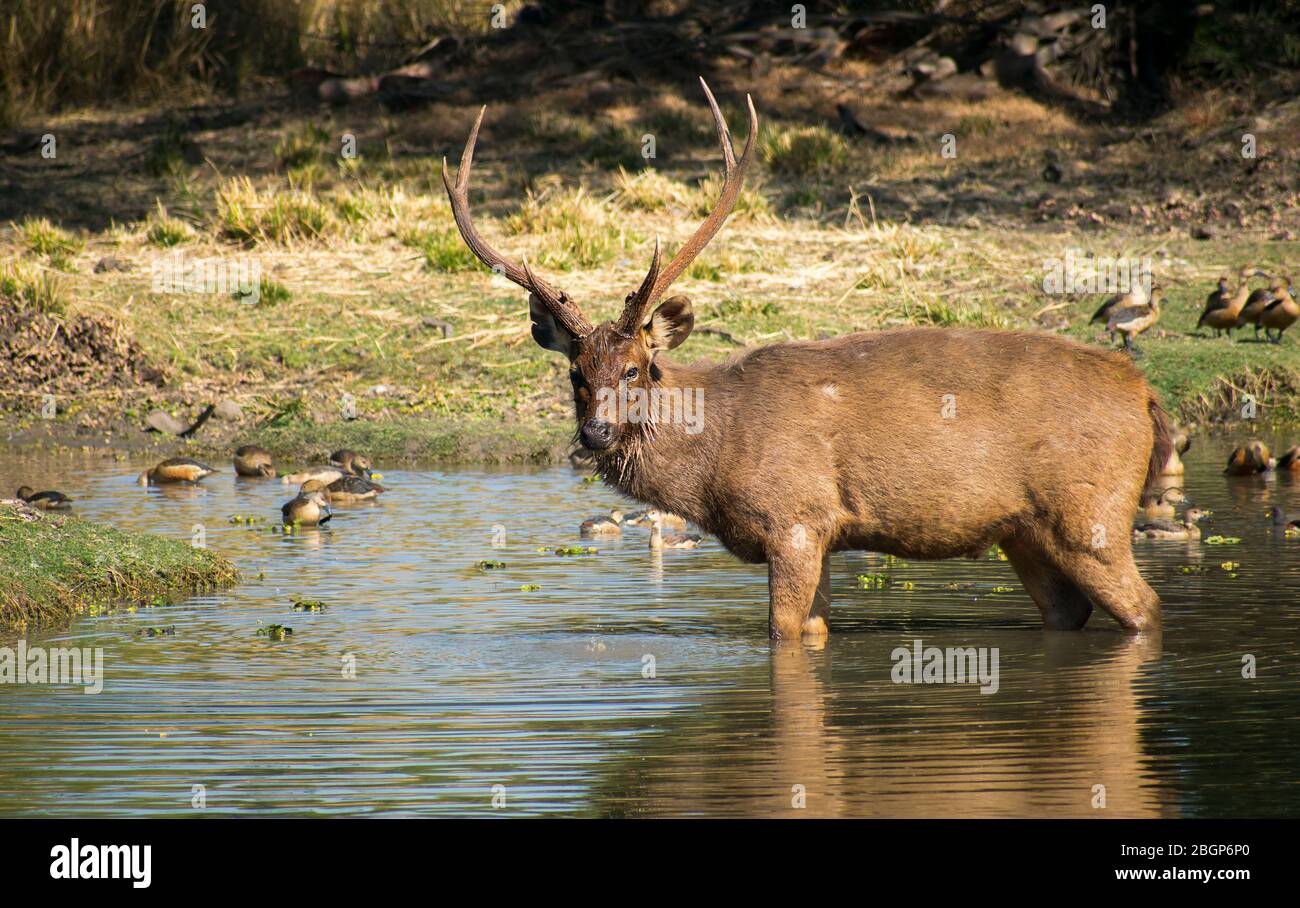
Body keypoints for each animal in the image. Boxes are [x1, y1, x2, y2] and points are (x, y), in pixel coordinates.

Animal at [442, 79, 1171, 641]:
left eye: (637, 368)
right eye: (575, 373)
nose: (595, 432)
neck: (715, 461)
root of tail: (1143, 391)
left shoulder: (795, 517)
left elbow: (781, 634)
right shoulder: (817, 534)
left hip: (1091, 512)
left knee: (1145, 606)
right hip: (1024, 530)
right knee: (1069, 610)